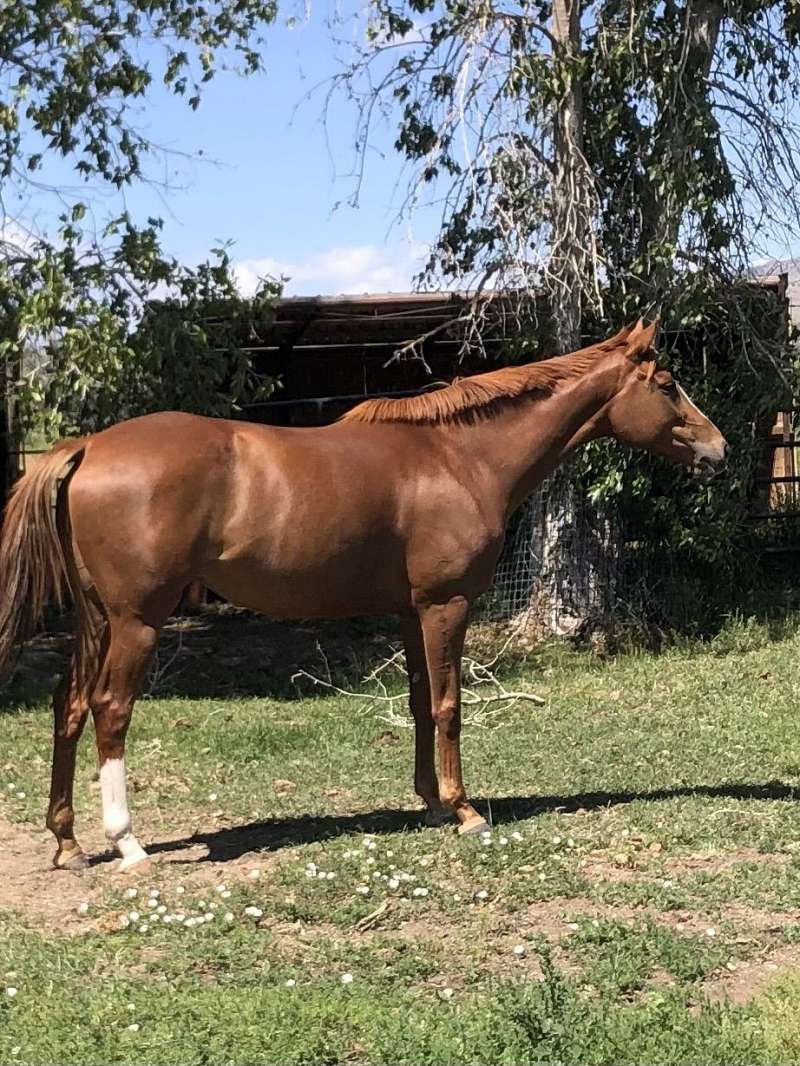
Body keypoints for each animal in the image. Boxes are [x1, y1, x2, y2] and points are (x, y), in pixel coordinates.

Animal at [0, 318, 726, 873]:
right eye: (668, 385)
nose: (718, 449)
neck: (459, 458)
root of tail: (88, 446)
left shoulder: (410, 611)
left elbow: (419, 704)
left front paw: (430, 804)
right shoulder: (445, 606)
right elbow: (450, 706)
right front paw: (466, 811)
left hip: (96, 620)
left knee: (68, 708)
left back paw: (67, 844)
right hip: (137, 622)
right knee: (110, 711)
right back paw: (127, 843)